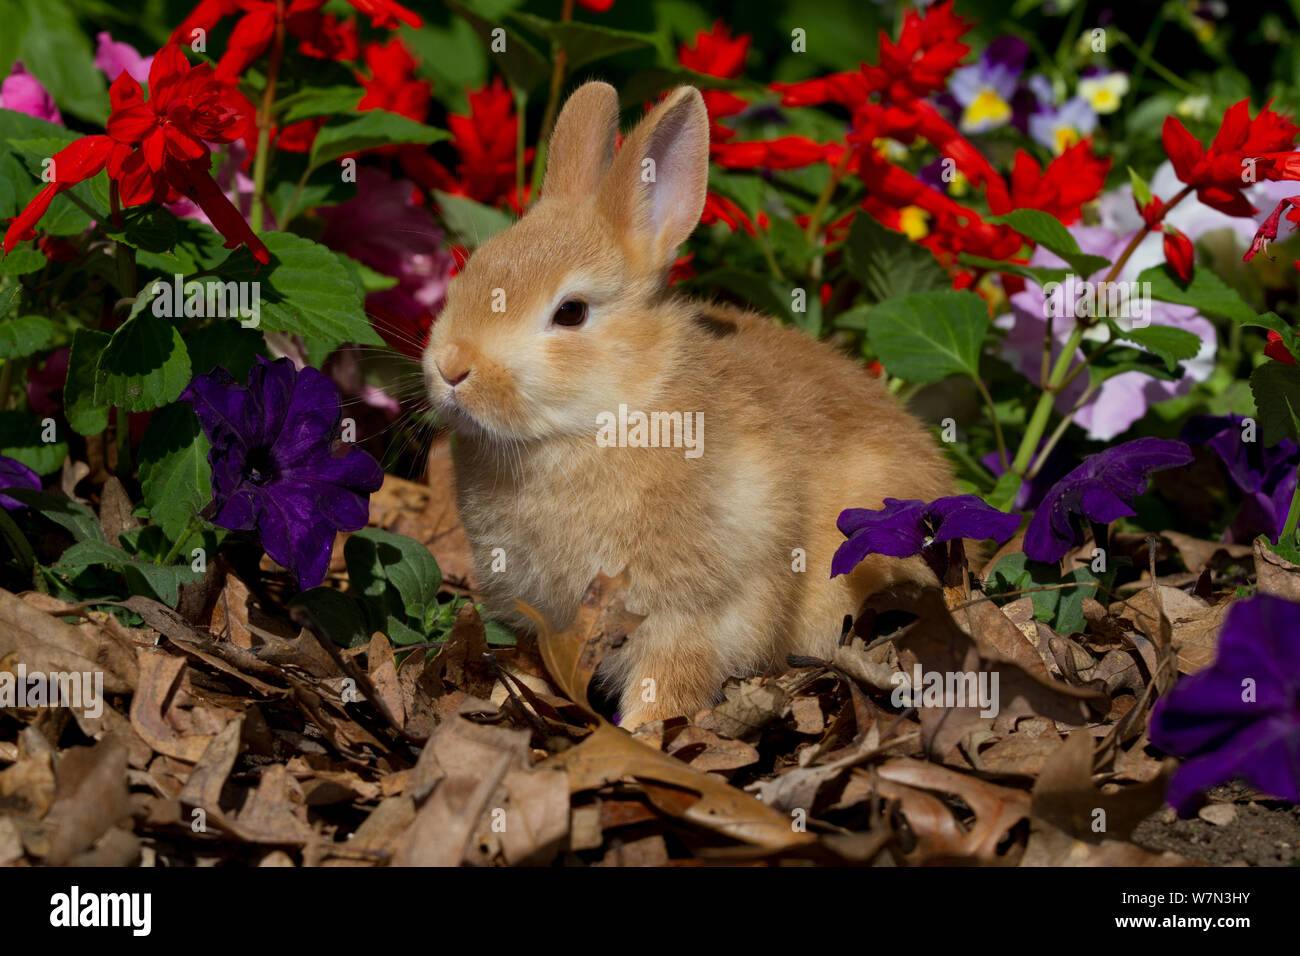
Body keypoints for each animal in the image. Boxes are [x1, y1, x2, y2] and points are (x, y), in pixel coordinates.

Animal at [422, 81, 958, 730]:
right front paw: (507, 701)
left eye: (571, 312)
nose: (452, 367)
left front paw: (640, 734)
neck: (615, 412)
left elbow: (670, 682)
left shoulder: (690, 613)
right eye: (468, 273)